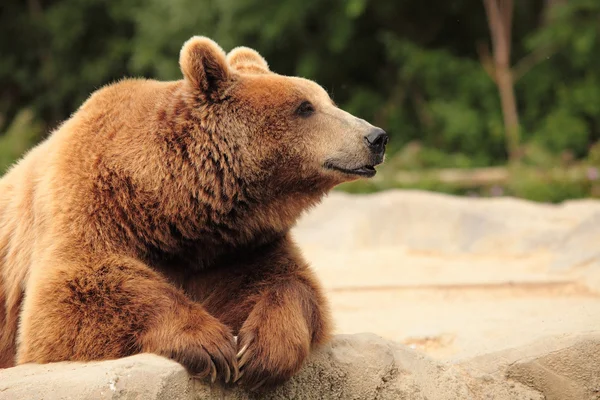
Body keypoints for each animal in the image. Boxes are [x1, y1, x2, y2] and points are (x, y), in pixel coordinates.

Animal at [0, 36, 390, 390]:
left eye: (328, 99)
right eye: (305, 107)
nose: (376, 137)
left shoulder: (236, 247)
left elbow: (290, 283)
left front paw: (260, 352)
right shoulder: (89, 203)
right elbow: (73, 294)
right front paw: (210, 346)